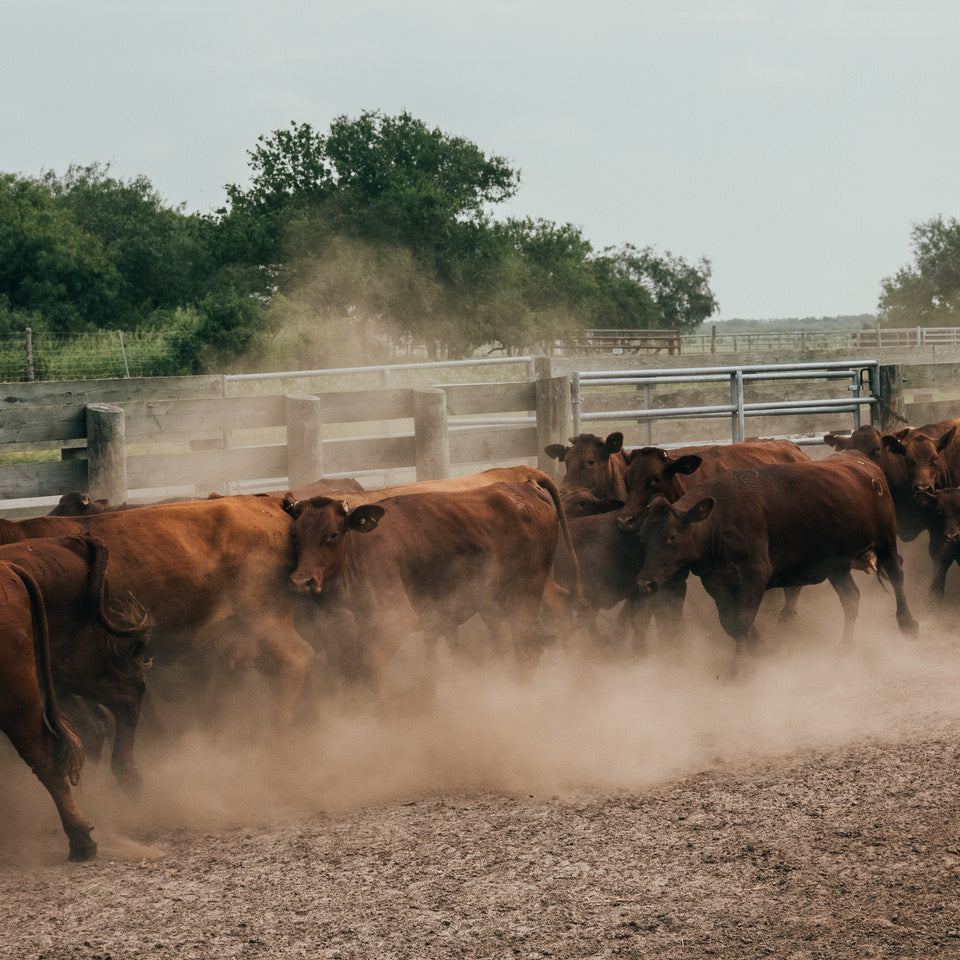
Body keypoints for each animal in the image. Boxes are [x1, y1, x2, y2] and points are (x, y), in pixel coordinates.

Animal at [0, 536, 150, 792]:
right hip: (62, 680)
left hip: (77, 668)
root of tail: (72, 542)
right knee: (94, 726)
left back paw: (127, 779)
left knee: (129, 693)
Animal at [284, 481, 565, 679]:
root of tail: (524, 489)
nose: (301, 581)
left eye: (332, 534)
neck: (356, 550)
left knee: (527, 648)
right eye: (295, 535)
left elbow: (369, 666)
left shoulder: (395, 618)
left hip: (525, 593)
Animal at [632, 454, 918, 665]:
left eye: (671, 536)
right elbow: (731, 622)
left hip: (886, 540)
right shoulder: (717, 583)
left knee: (897, 575)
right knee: (851, 598)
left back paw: (908, 623)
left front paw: (740, 667)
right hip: (836, 565)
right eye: (642, 536)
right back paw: (846, 645)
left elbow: (743, 619)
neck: (719, 519)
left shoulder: (755, 575)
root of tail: (863, 462)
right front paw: (760, 651)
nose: (645, 582)